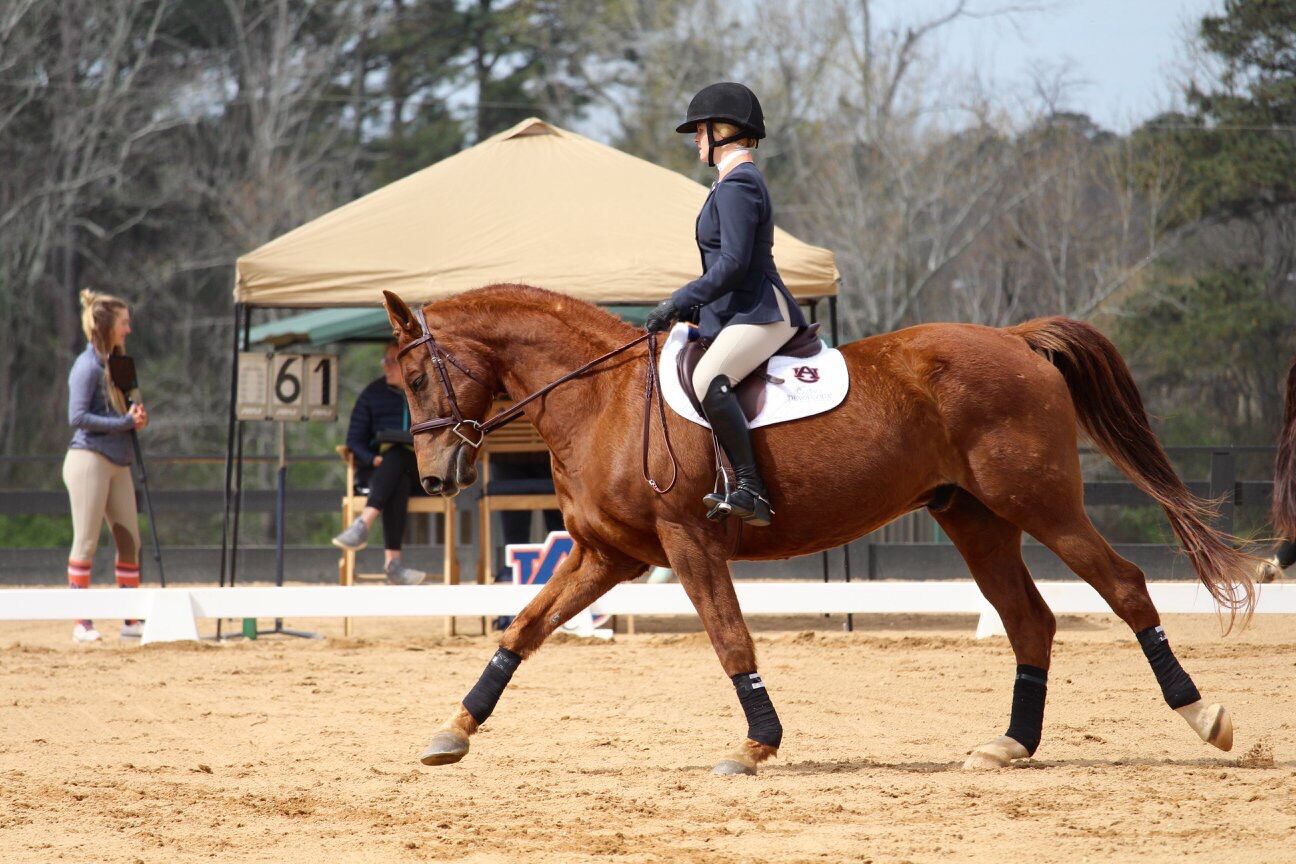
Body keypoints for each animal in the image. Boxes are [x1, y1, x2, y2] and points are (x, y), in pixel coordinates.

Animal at [383, 284, 1256, 774]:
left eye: (419, 374)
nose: (432, 479)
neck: (602, 397)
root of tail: (1014, 339)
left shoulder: (687, 543)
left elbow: (730, 638)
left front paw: (756, 744)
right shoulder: (607, 554)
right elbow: (523, 629)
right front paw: (452, 731)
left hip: (1041, 503)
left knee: (1124, 587)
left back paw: (1204, 717)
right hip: (975, 518)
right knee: (1029, 620)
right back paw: (1009, 746)